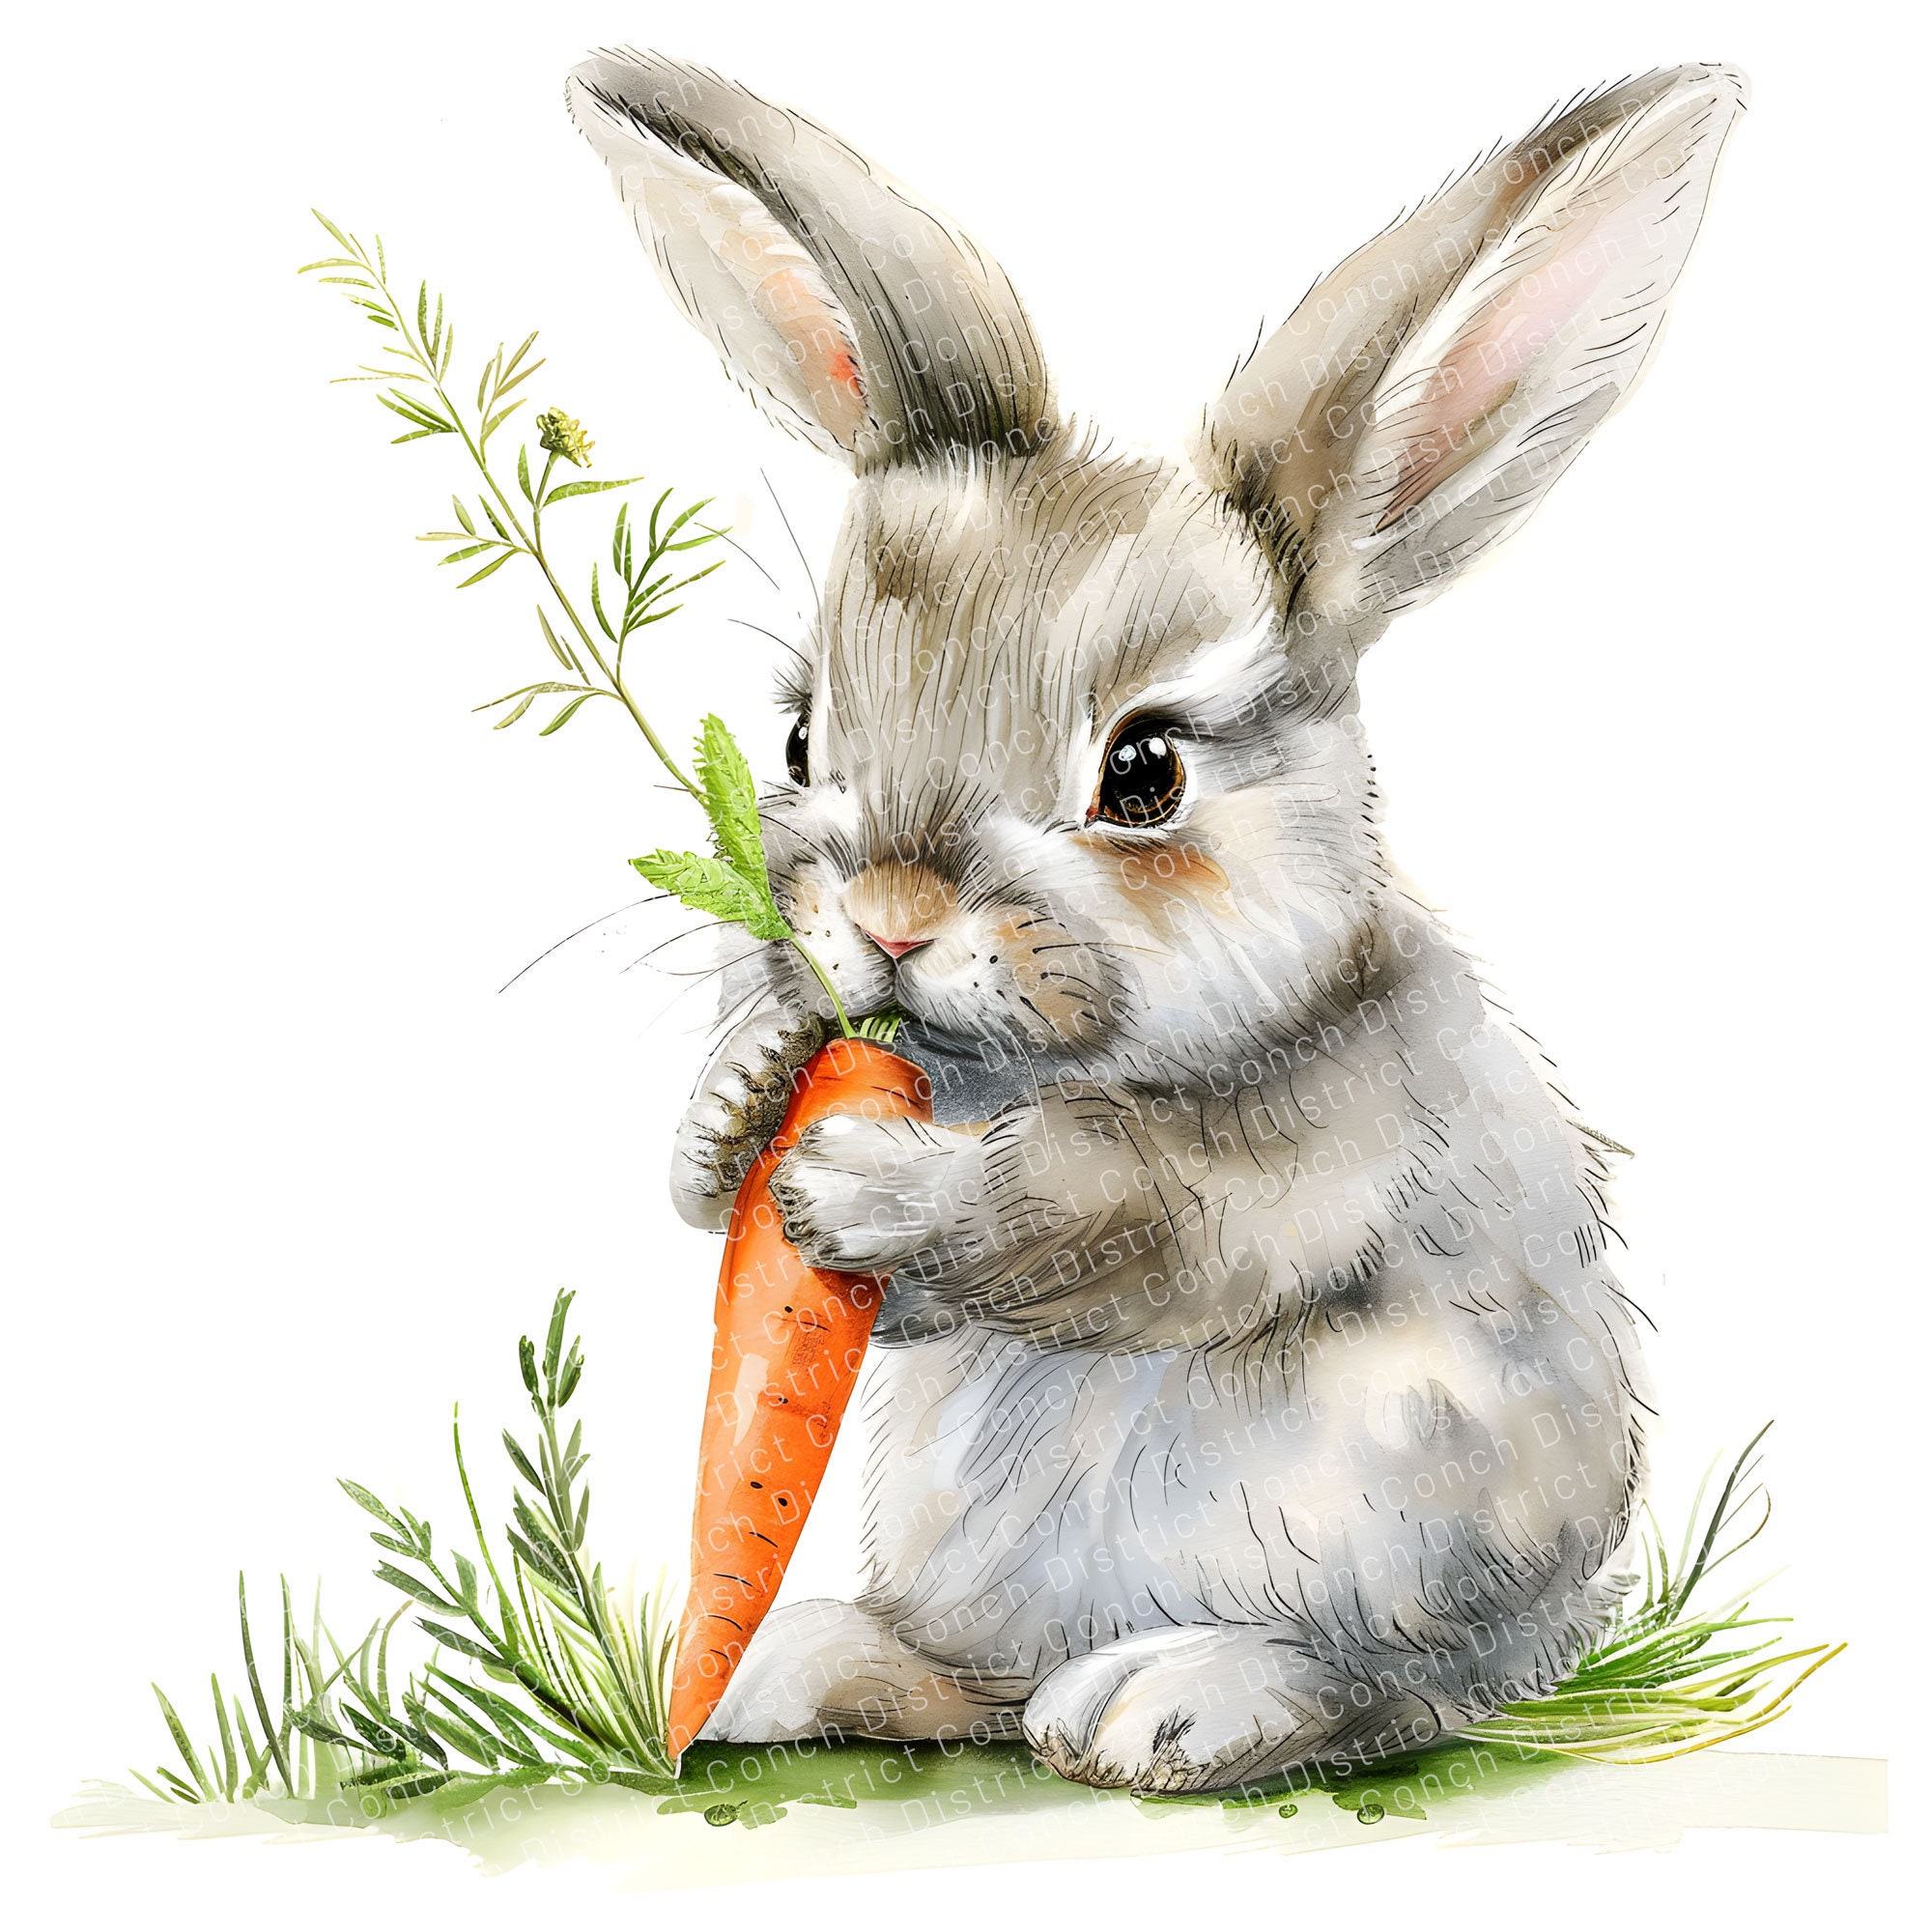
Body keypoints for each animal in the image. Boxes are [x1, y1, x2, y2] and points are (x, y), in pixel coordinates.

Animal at [567, 52, 1747, 1794]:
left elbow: (1108, 1217)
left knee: (1411, 1692)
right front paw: (741, 1101)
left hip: (1405, 1501)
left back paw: (1176, 1703)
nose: (891, 922)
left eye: (1144, 773)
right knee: (983, 1687)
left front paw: (862, 1179)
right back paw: (805, 1665)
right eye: (799, 738)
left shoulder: (1303, 1149)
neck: (1005, 1070)